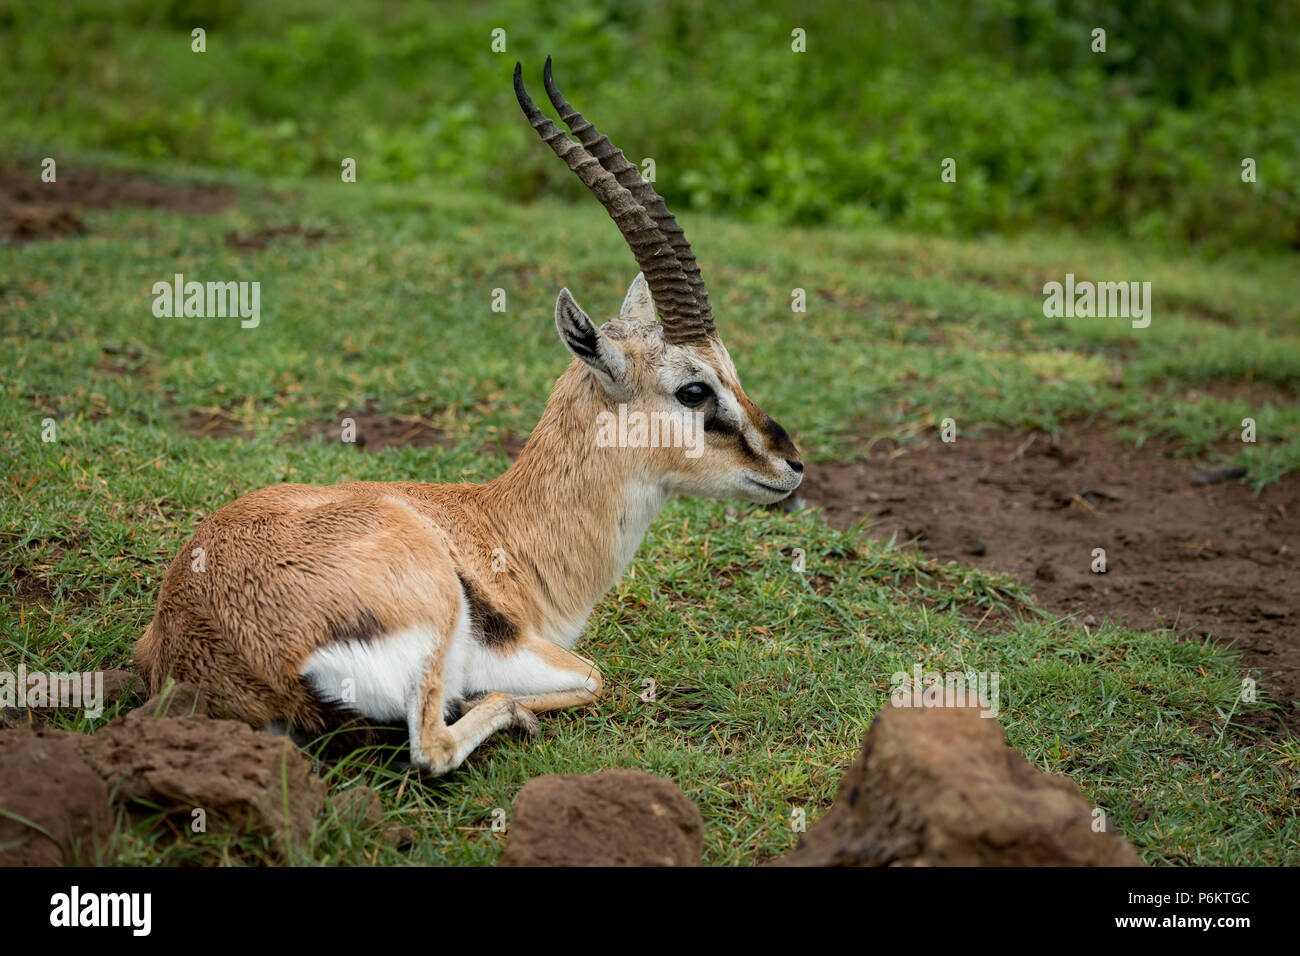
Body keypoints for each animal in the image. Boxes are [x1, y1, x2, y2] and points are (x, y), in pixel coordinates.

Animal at [134, 59, 803, 775]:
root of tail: (222, 640)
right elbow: (593, 676)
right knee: (432, 746)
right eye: (693, 391)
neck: (504, 533)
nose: (790, 464)